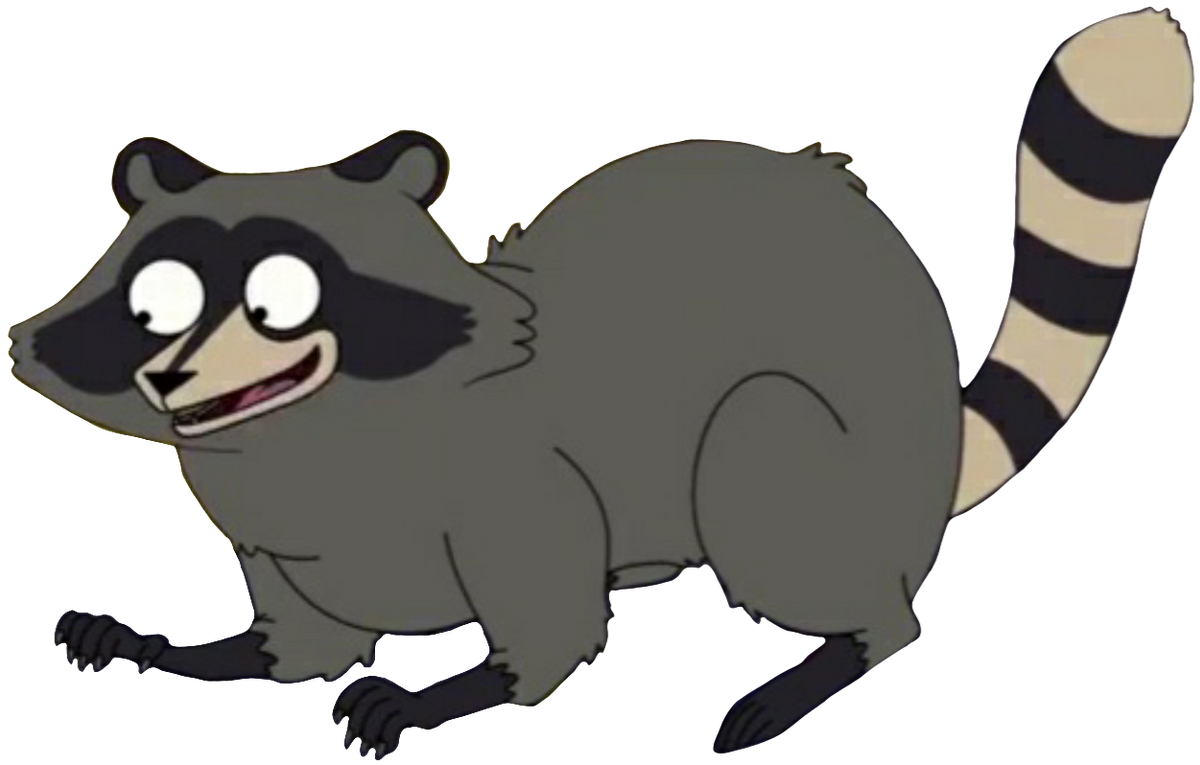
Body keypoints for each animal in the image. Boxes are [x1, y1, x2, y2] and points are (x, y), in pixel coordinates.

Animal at [10, 7, 1194, 760]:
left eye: (282, 297)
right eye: (155, 300)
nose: (172, 369)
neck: (311, 439)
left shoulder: (511, 482)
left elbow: (550, 606)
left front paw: (455, 693)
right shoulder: (281, 540)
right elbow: (302, 642)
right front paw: (170, 647)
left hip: (821, 455)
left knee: (769, 465)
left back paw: (835, 652)